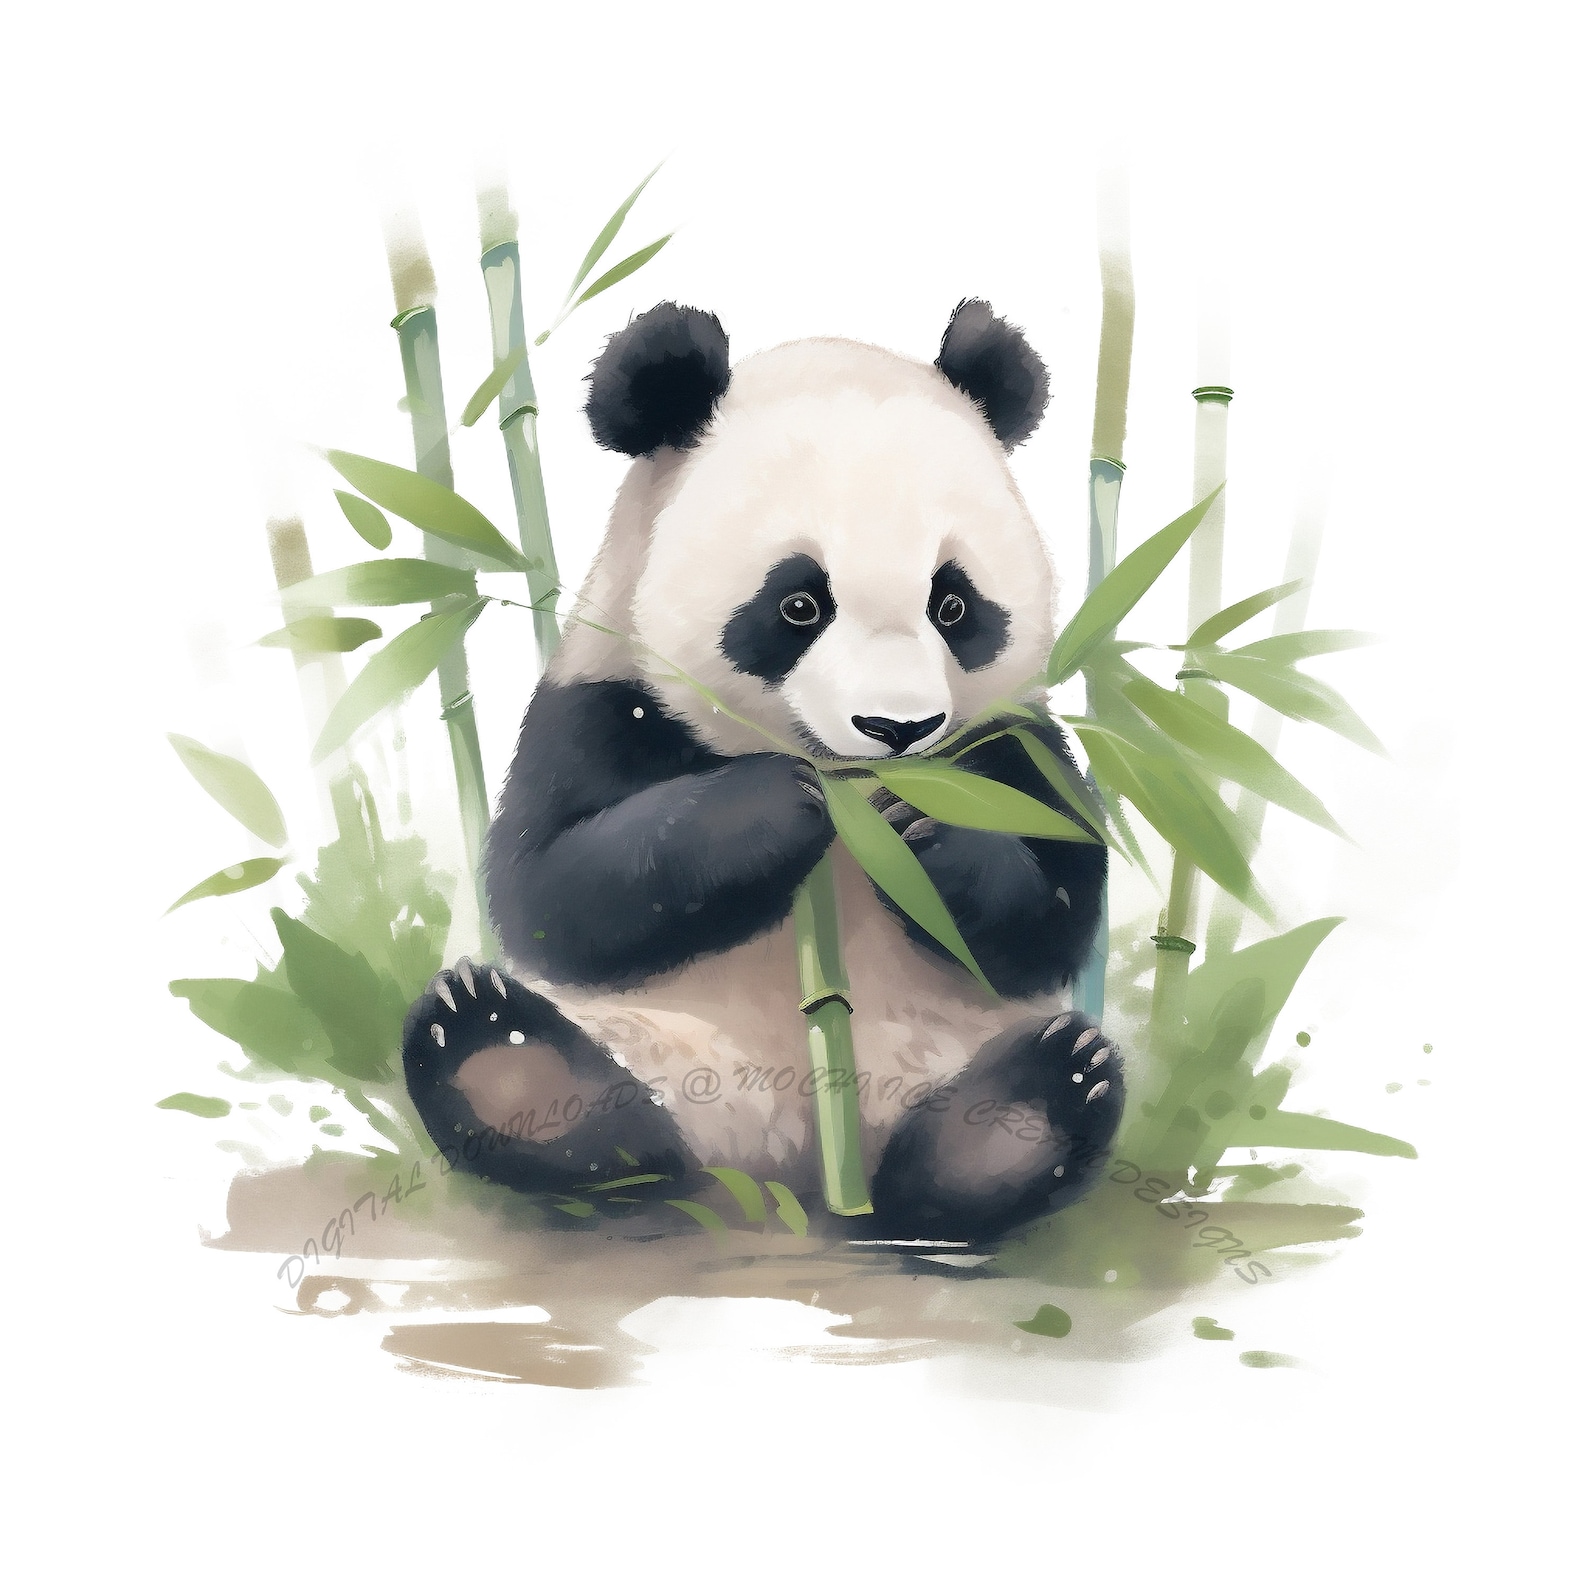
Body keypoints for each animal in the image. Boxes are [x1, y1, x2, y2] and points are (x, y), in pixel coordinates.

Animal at [401, 298, 1124, 1245]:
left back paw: (1002, 1133)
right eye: (799, 604)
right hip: (665, 1052)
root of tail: (785, 1173)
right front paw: (772, 807)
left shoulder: (1009, 742)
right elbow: (551, 890)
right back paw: (521, 1076)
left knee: (1026, 1095)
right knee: (572, 1103)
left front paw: (924, 834)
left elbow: (1052, 907)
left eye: (953, 604)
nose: (897, 728)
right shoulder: (601, 702)